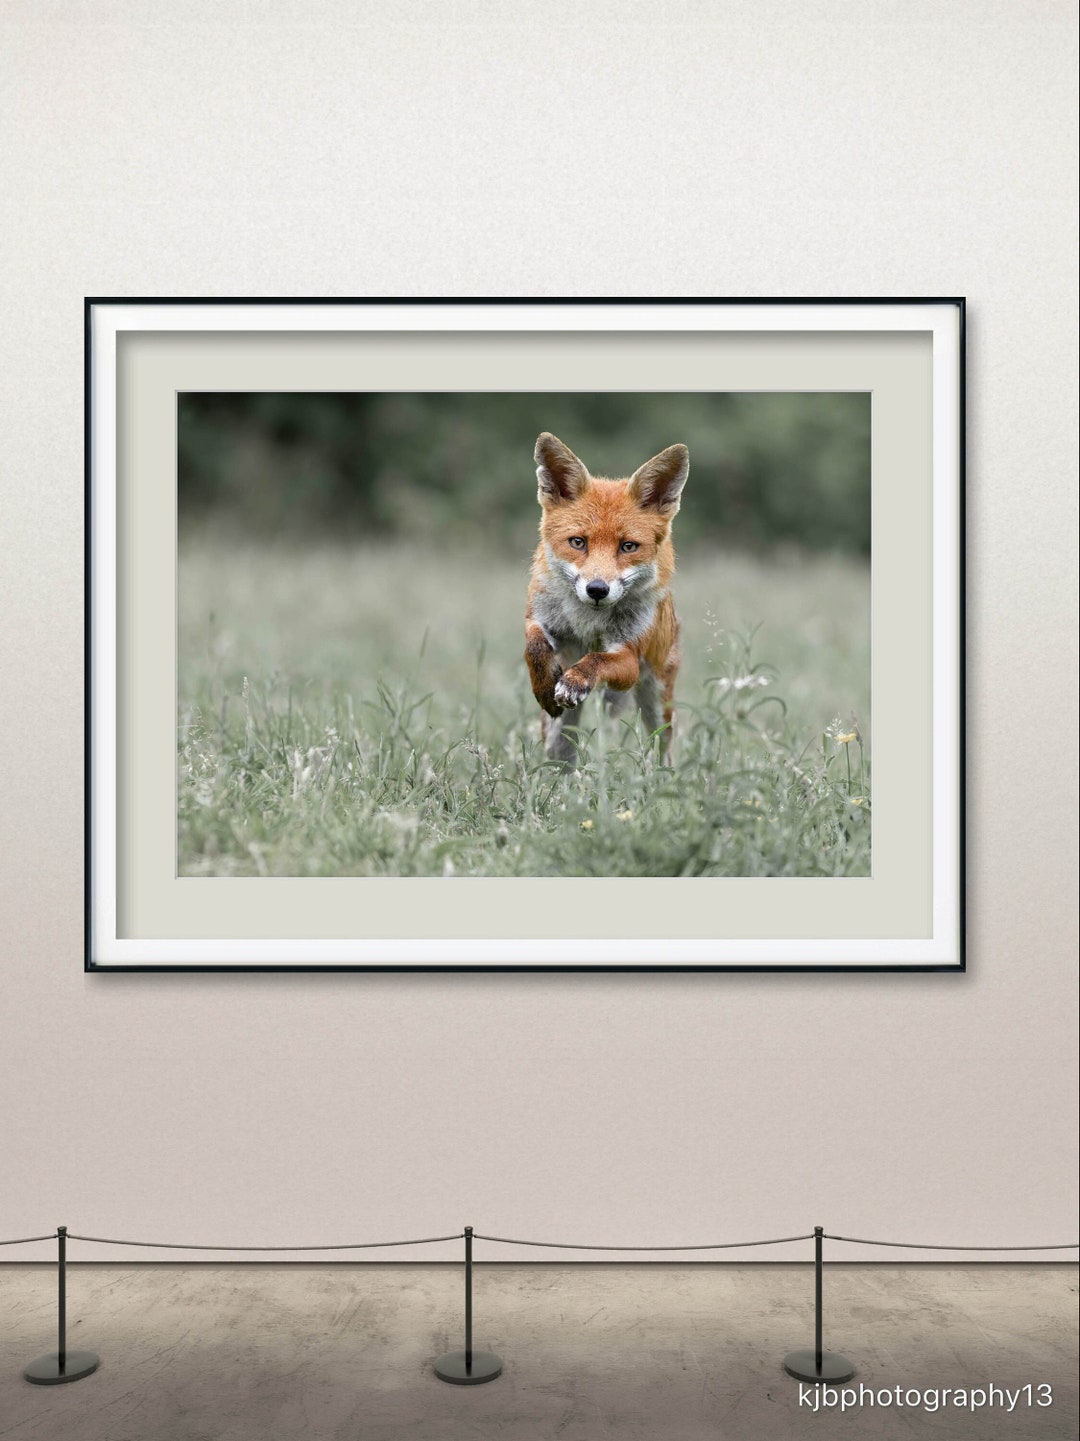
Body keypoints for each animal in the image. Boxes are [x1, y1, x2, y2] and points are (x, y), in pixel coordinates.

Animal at [524, 432, 689, 764]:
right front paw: (546, 685)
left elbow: (596, 660)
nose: (597, 590)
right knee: (562, 757)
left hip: (656, 700)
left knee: (662, 747)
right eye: (578, 542)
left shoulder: (627, 656)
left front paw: (576, 679)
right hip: (559, 728)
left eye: (628, 546)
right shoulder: (537, 619)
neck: (589, 621)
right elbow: (535, 647)